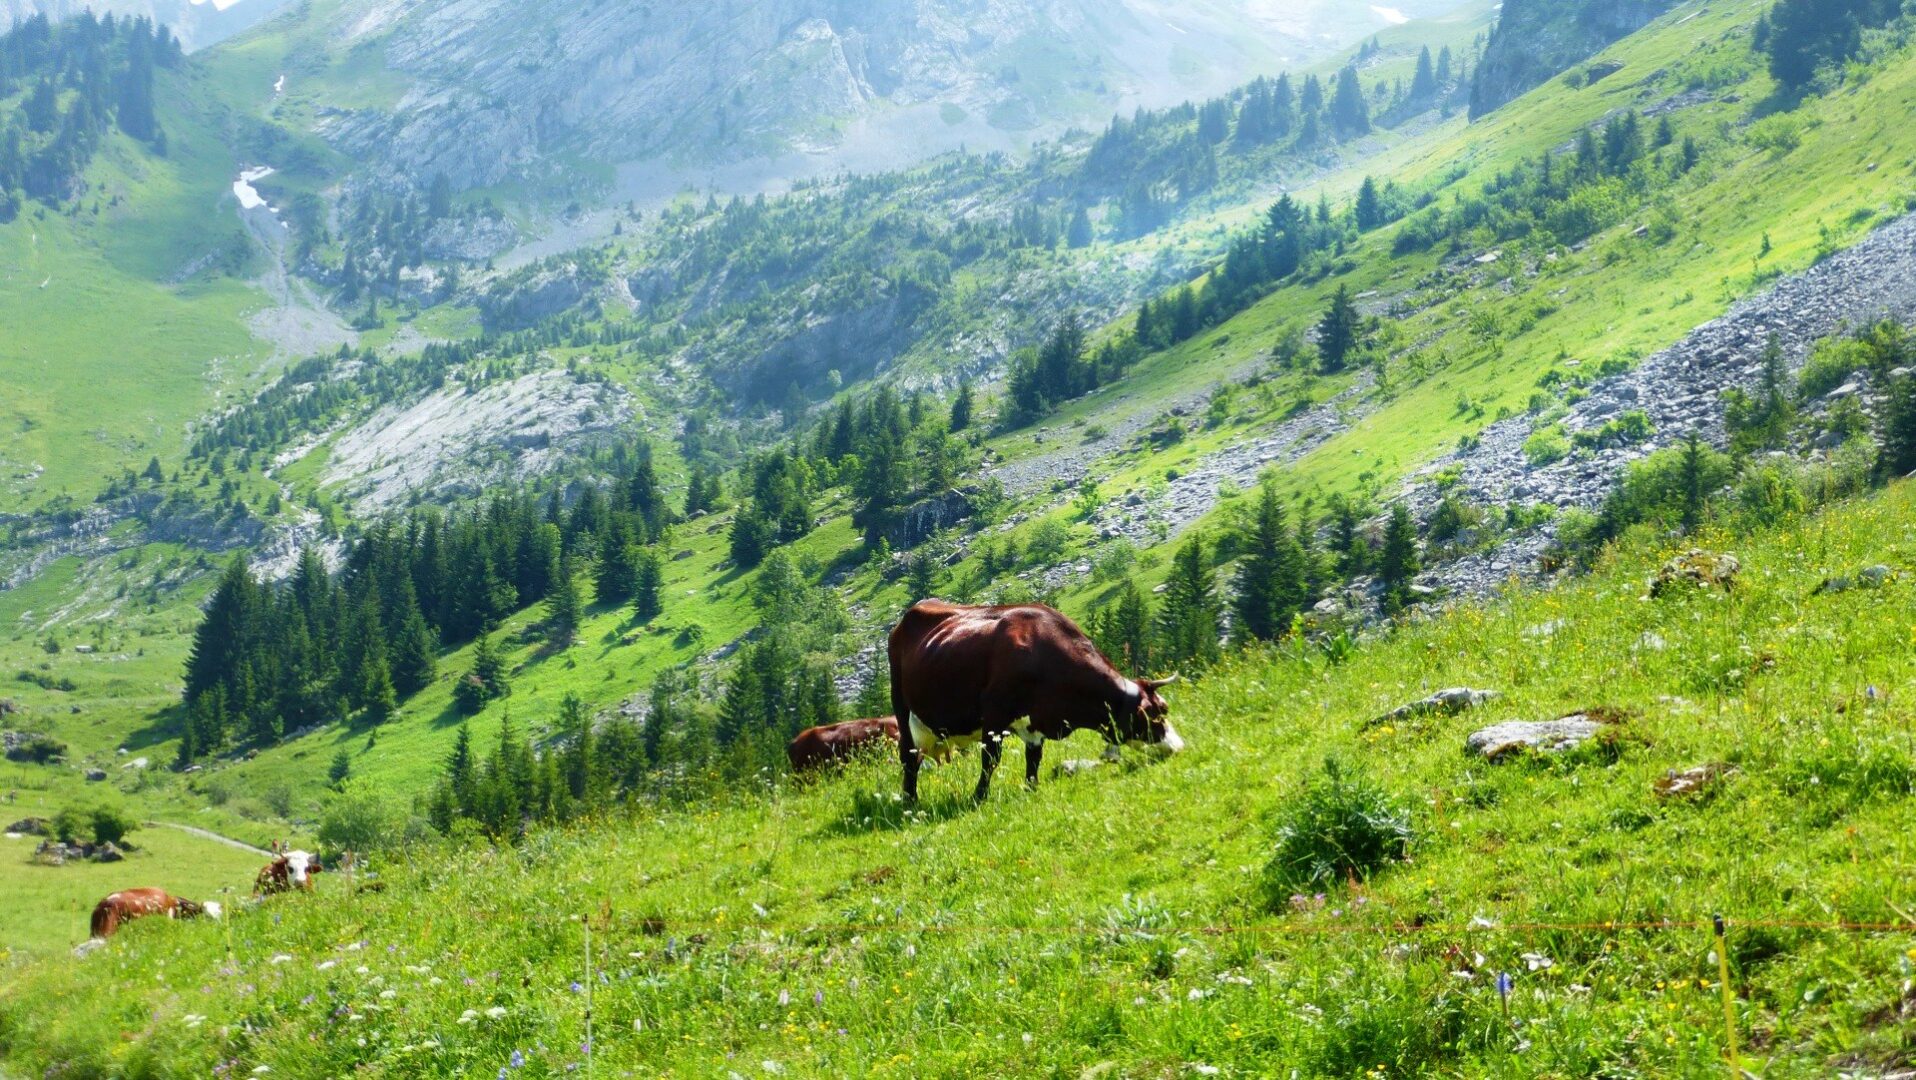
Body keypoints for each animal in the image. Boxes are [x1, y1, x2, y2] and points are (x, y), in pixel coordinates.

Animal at [885, 597, 1180, 800]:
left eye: (1164, 707)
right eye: (1156, 712)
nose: (1178, 746)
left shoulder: (1035, 721)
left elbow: (1034, 757)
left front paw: (1031, 788)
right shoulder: (994, 713)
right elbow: (991, 759)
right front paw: (979, 796)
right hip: (902, 710)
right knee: (908, 758)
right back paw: (910, 801)